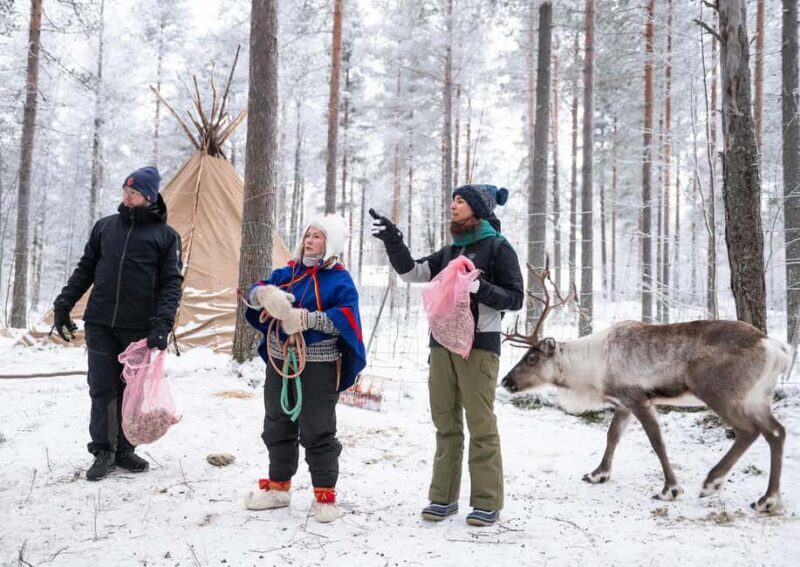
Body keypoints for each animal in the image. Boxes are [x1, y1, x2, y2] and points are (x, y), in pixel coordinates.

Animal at [501, 262, 790, 513]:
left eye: (531, 358)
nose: (505, 381)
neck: (593, 369)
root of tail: (777, 349)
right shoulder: (622, 403)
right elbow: (612, 435)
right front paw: (597, 474)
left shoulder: (638, 398)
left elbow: (656, 441)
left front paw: (670, 489)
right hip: (758, 397)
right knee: (776, 432)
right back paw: (766, 500)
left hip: (719, 392)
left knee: (749, 430)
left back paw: (713, 482)